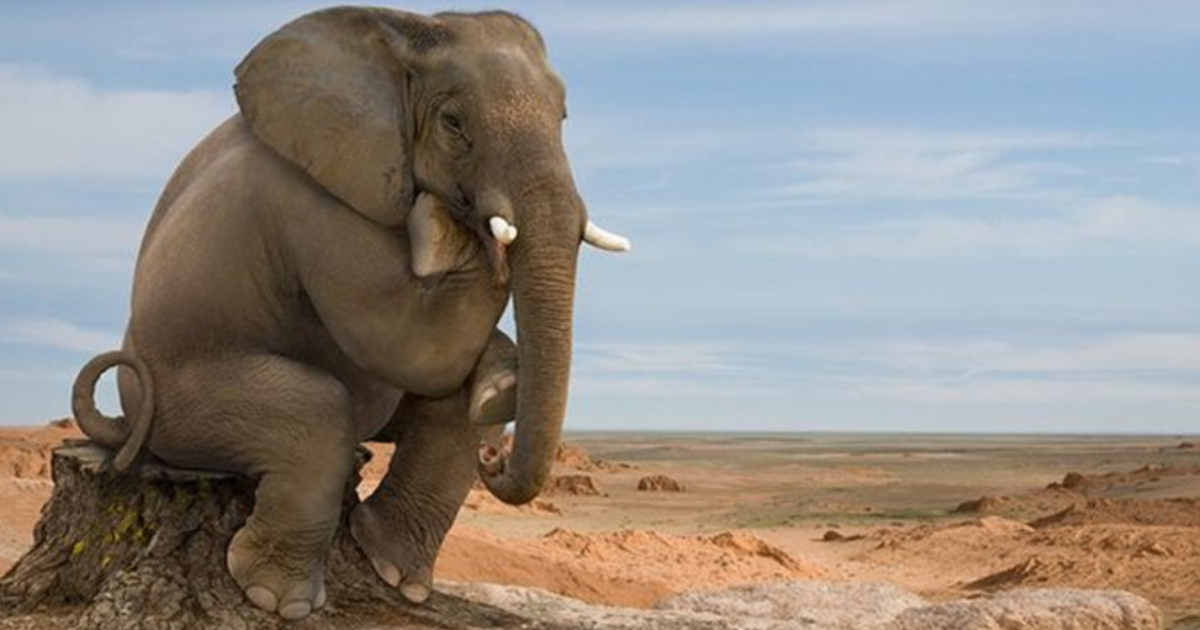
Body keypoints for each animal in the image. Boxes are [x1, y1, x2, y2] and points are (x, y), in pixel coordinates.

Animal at [67, 7, 629, 620]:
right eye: (454, 123)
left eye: (564, 116)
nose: (493, 461)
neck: (399, 36)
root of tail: (127, 423)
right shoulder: (315, 198)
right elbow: (402, 341)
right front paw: (445, 233)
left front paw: (502, 374)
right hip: (177, 404)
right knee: (319, 410)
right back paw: (278, 597)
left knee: (453, 410)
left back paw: (398, 568)